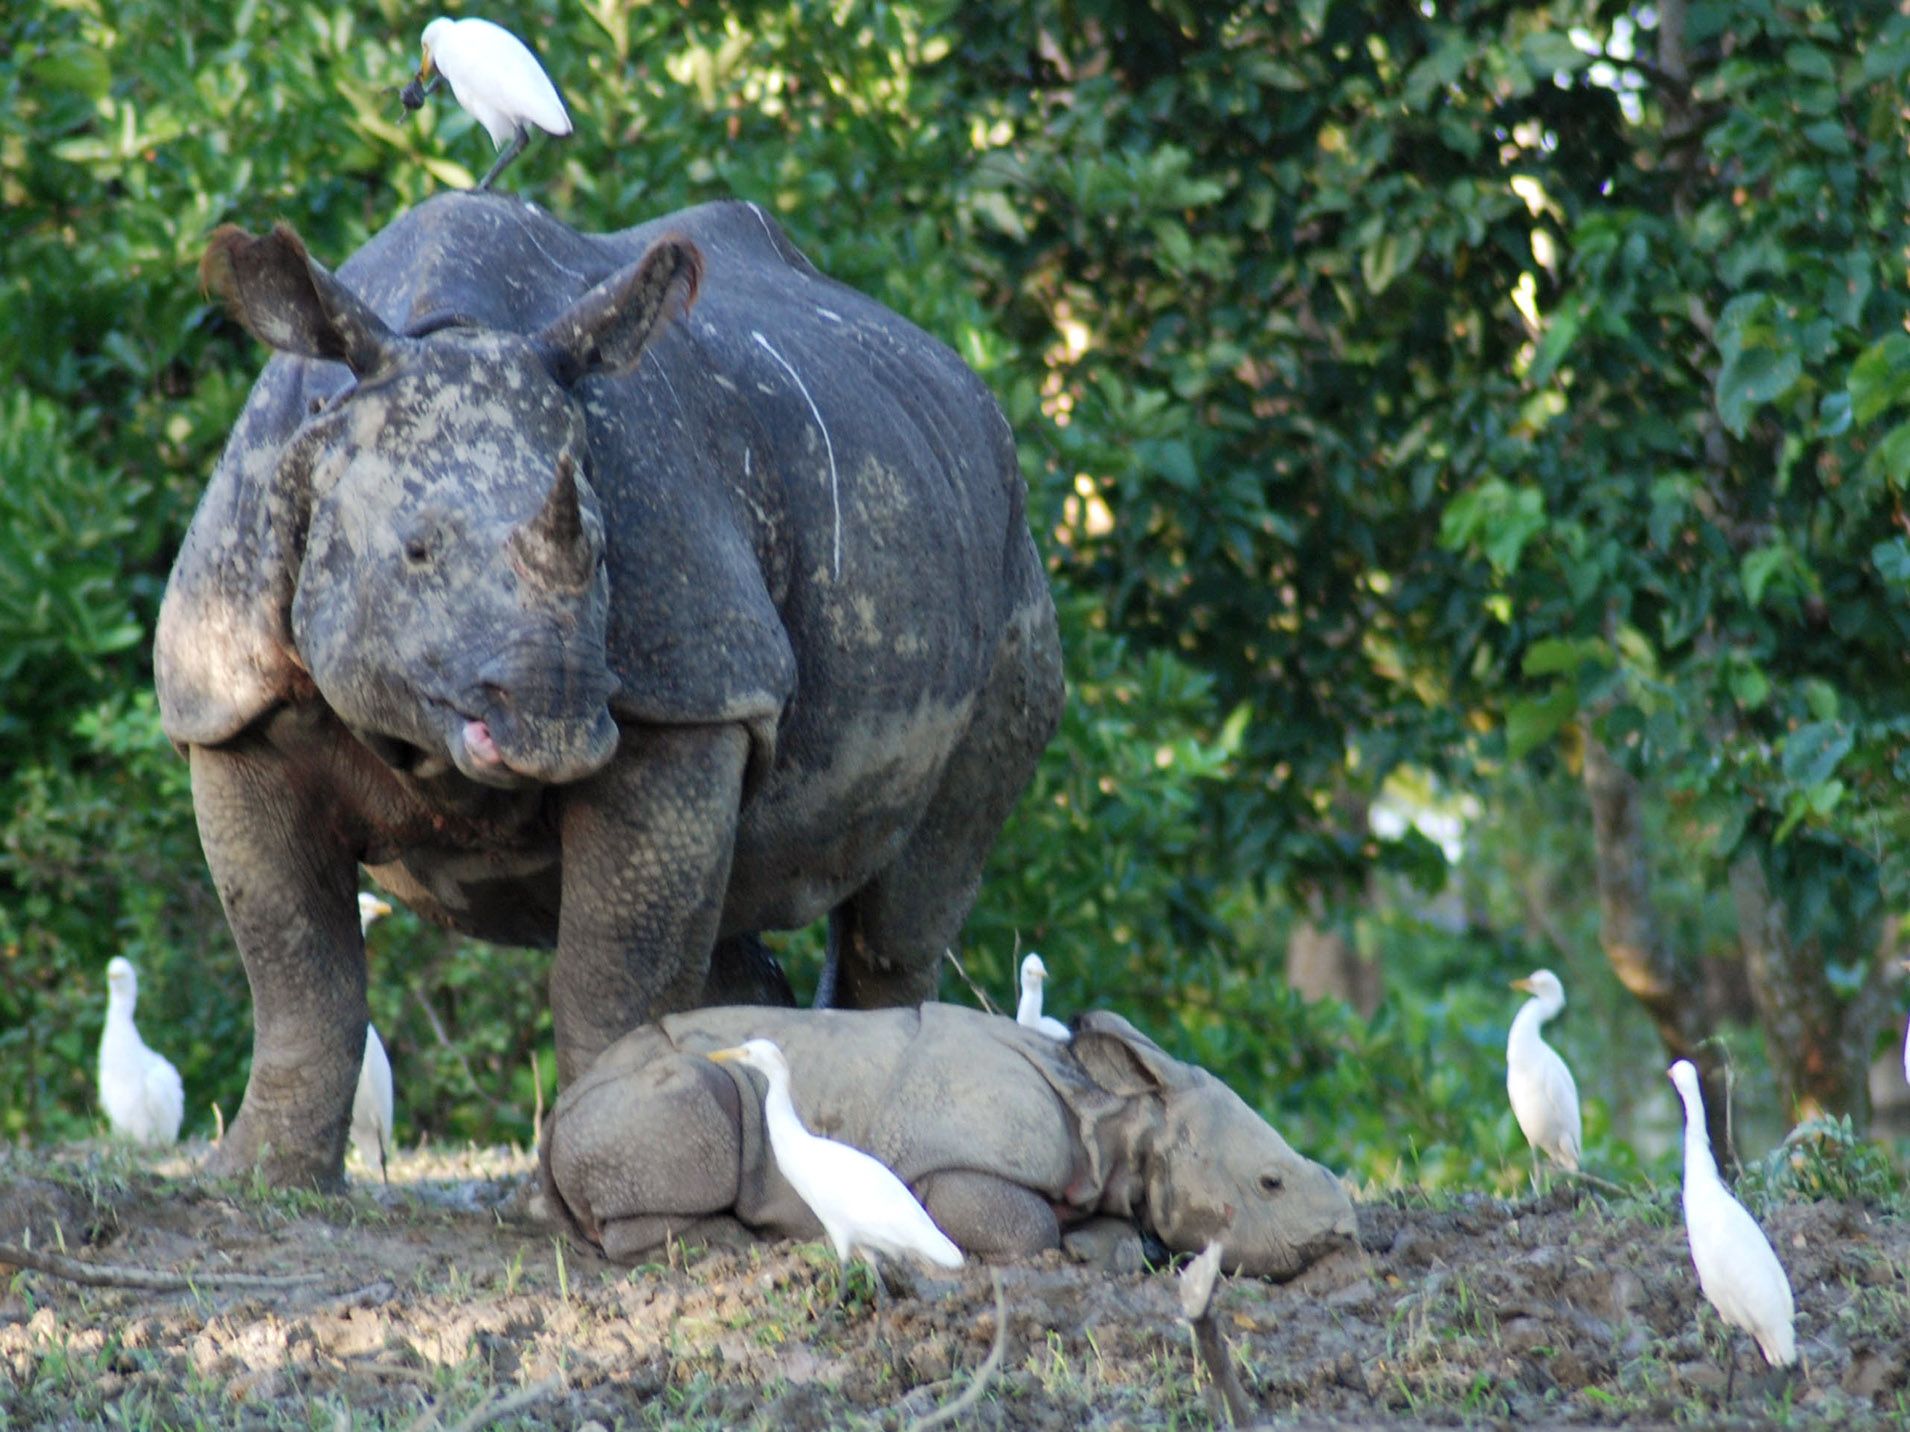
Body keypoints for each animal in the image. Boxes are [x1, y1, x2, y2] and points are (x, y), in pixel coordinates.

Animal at [155, 193, 1064, 1187]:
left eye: (600, 551)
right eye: (417, 552)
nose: (552, 710)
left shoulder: (691, 697)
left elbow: (614, 966)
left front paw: (609, 1172)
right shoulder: (229, 698)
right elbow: (297, 968)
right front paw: (255, 1180)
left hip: (1007, 564)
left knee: (902, 915)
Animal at [541, 1004, 1360, 1280]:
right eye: (1270, 1183)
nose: (1344, 1236)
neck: (1116, 1116)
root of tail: (562, 1104)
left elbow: (1116, 1232)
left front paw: (1108, 1248)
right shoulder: (948, 1164)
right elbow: (1022, 1225)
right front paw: (1065, 1250)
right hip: (642, 1097)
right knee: (694, 1098)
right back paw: (739, 1247)